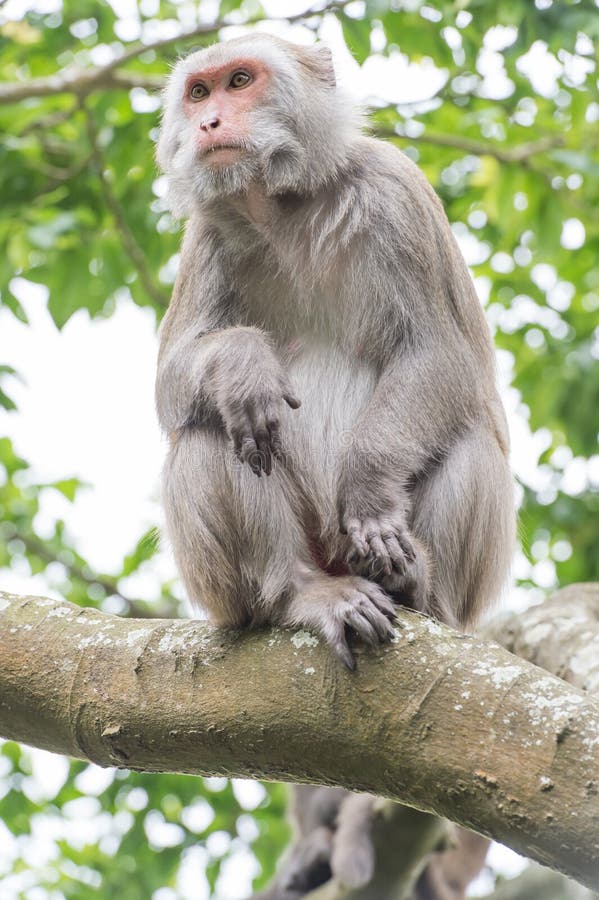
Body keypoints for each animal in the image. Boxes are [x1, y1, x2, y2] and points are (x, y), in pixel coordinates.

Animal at [155, 33, 514, 896]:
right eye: (198, 92)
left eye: (241, 80)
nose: (210, 120)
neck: (281, 206)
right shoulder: (205, 237)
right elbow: (175, 382)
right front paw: (240, 363)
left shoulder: (394, 191)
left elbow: (439, 353)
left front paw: (369, 495)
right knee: (209, 431)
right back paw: (300, 594)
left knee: (465, 435)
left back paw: (416, 592)